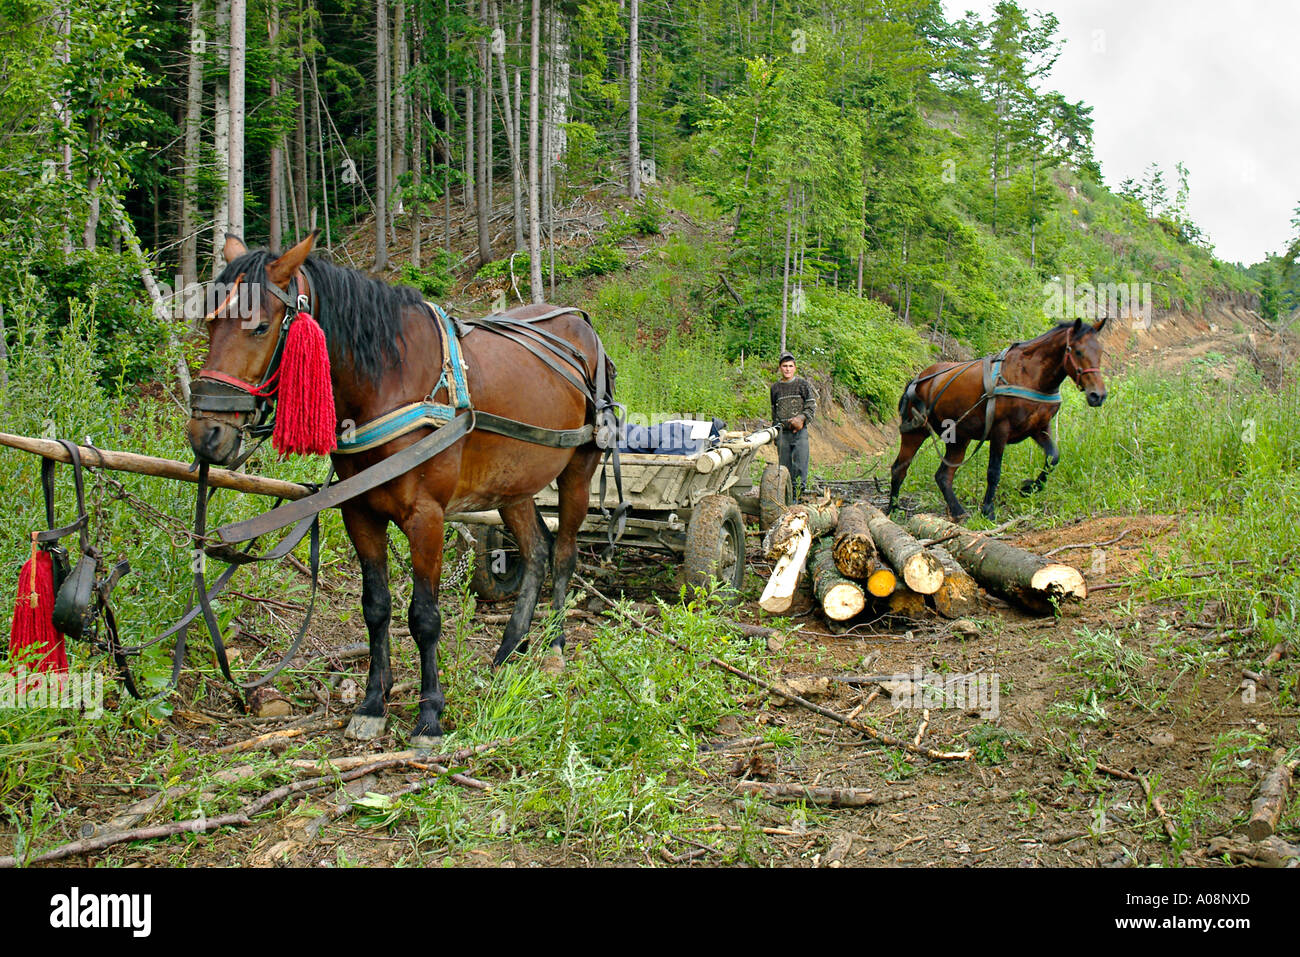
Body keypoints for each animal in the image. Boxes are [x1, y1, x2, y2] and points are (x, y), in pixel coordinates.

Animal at [188, 232, 615, 747]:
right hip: (512, 484)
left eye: (260, 327)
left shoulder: (425, 517)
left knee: (565, 553)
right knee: (536, 551)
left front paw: (430, 714)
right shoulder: (359, 511)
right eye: (211, 322)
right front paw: (374, 702)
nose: (205, 434)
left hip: (578, 469)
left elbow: (424, 616)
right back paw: (510, 648)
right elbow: (376, 607)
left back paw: (553, 647)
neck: (385, 383)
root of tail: (581, 324)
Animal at [887, 317, 1108, 521]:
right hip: (916, 431)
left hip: (959, 438)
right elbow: (994, 471)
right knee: (900, 468)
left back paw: (958, 511)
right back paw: (892, 510)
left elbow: (1053, 458)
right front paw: (988, 511)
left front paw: (1028, 488)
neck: (1029, 374)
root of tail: (918, 379)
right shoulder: (1000, 429)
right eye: (1077, 351)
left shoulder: (1039, 428)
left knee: (943, 475)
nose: (1098, 395)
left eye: (1100, 352)